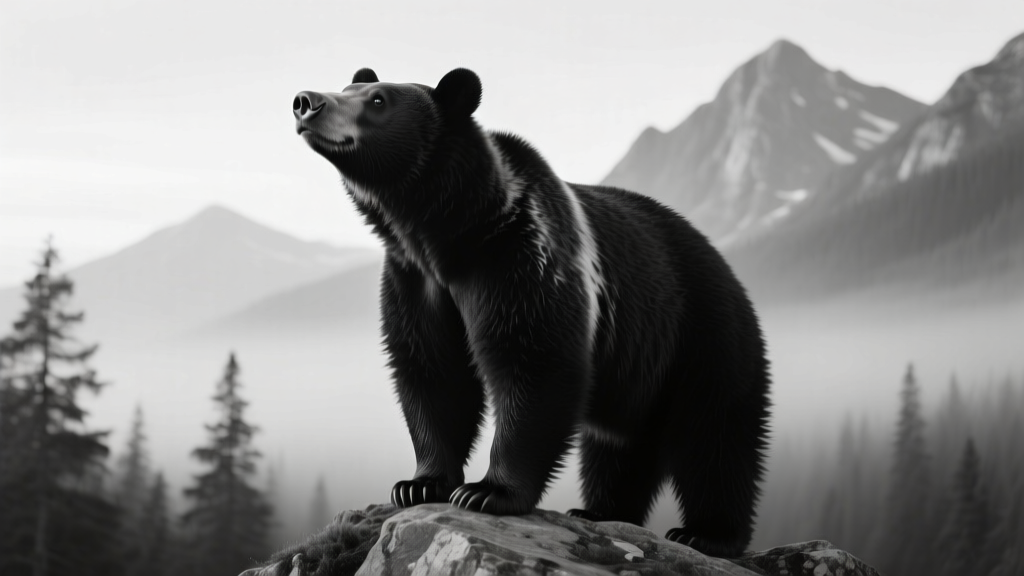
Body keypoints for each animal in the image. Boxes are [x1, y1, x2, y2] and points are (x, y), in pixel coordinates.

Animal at [292, 67, 771, 558]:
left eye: (378, 99)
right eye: (349, 86)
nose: (306, 101)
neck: (446, 232)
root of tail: (728, 269)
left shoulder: (522, 257)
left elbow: (533, 361)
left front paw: (487, 491)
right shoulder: (415, 281)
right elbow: (431, 370)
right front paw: (418, 484)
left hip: (701, 333)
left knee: (714, 436)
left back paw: (706, 533)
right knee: (617, 444)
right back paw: (600, 511)